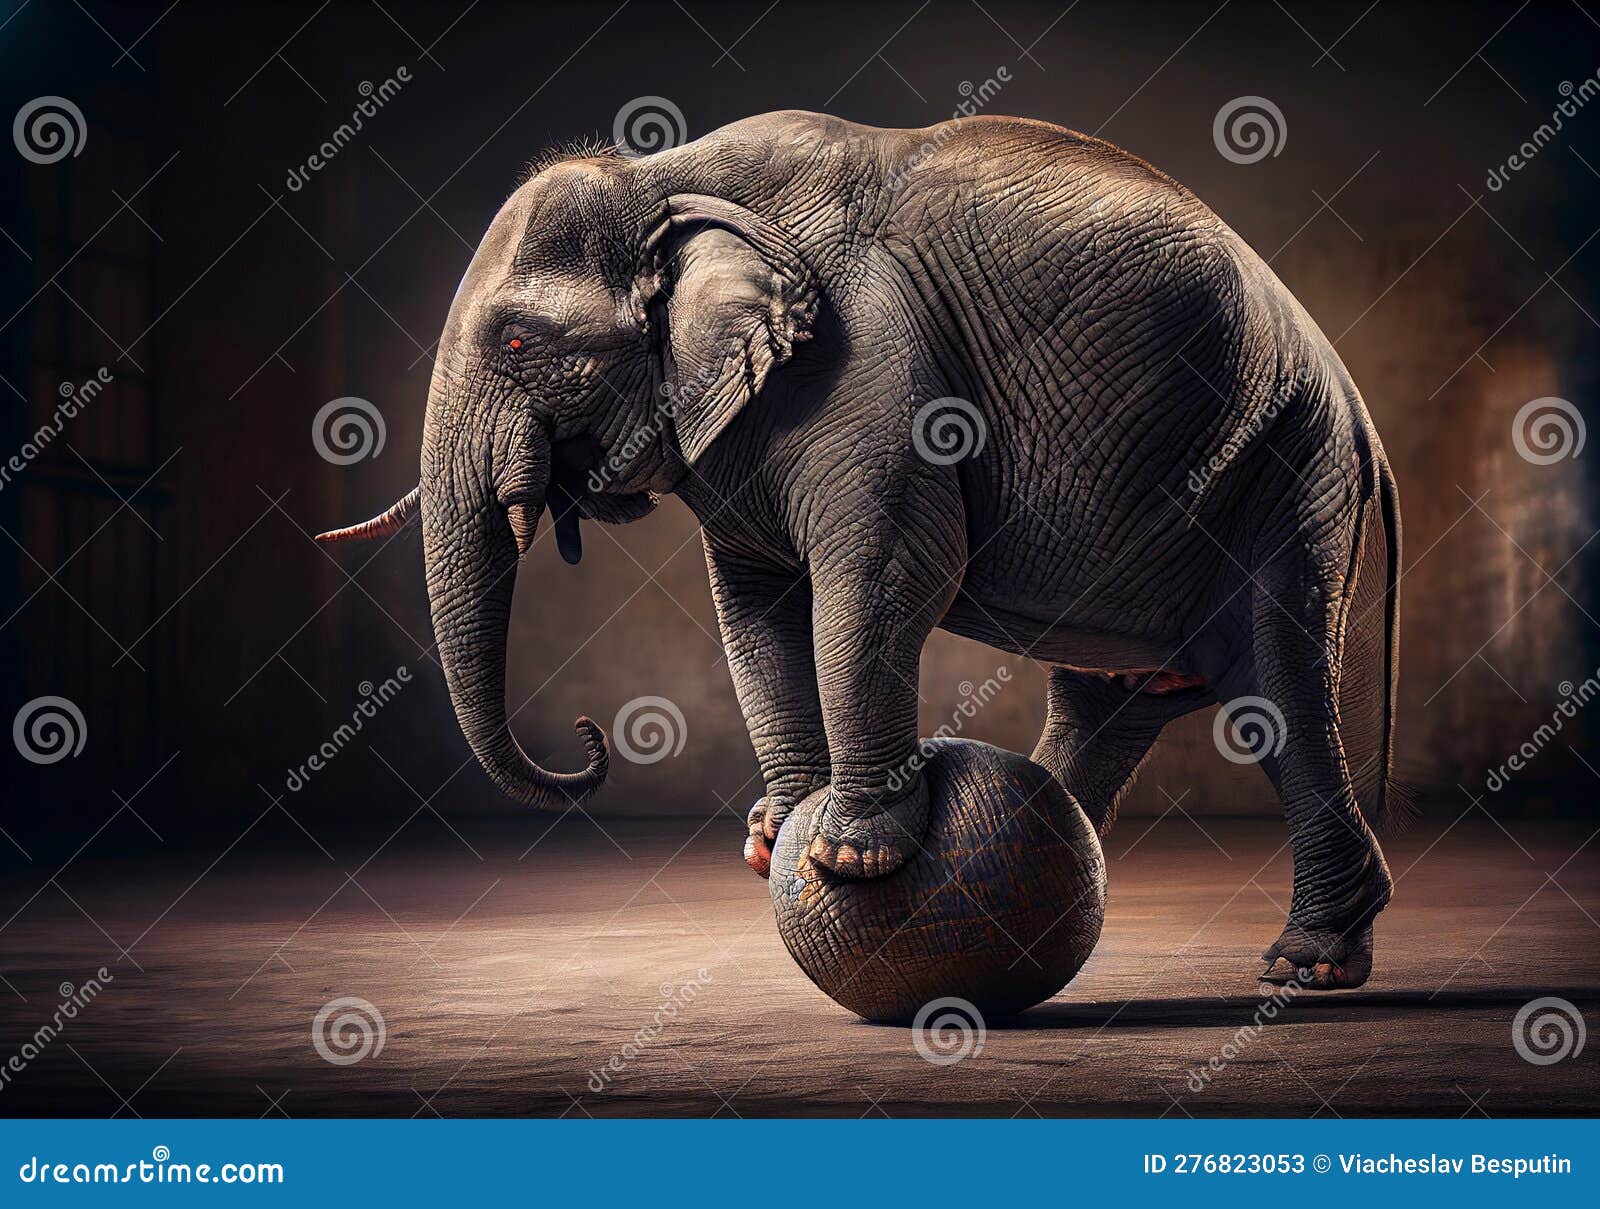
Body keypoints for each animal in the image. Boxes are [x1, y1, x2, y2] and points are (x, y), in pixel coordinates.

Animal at [318, 111, 1402, 990]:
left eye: (512, 346)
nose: (588, 739)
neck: (666, 174)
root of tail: (1360, 412)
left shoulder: (871, 362)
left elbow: (887, 575)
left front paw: (848, 860)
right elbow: (752, 606)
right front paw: (778, 838)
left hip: (1289, 470)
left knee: (1276, 686)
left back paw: (1305, 966)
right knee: (1112, 700)